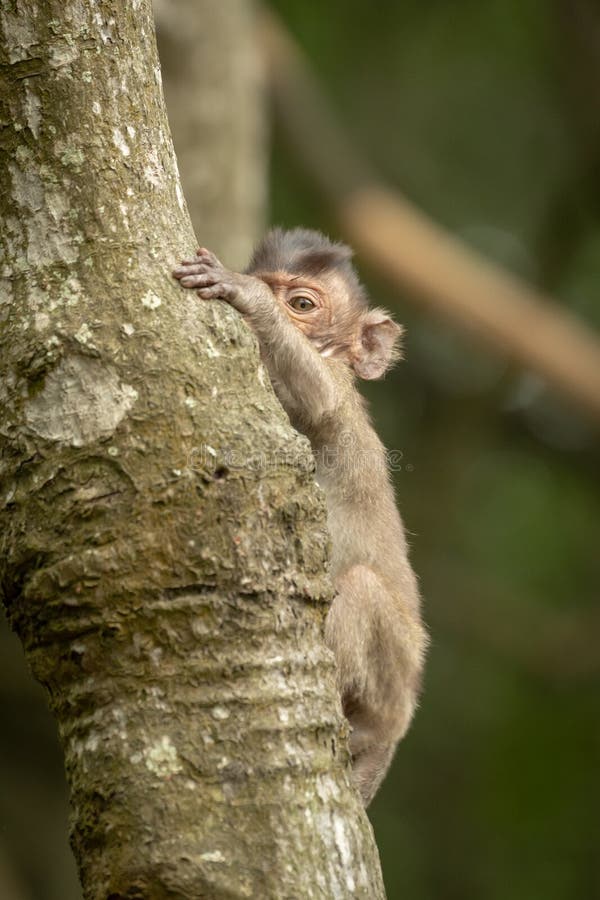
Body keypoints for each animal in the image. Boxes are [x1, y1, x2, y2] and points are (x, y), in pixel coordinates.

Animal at [173, 228, 427, 805]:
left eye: (303, 305)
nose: (270, 298)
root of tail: (402, 723)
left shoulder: (338, 399)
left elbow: (321, 397)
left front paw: (242, 294)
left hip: (395, 673)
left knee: (360, 587)